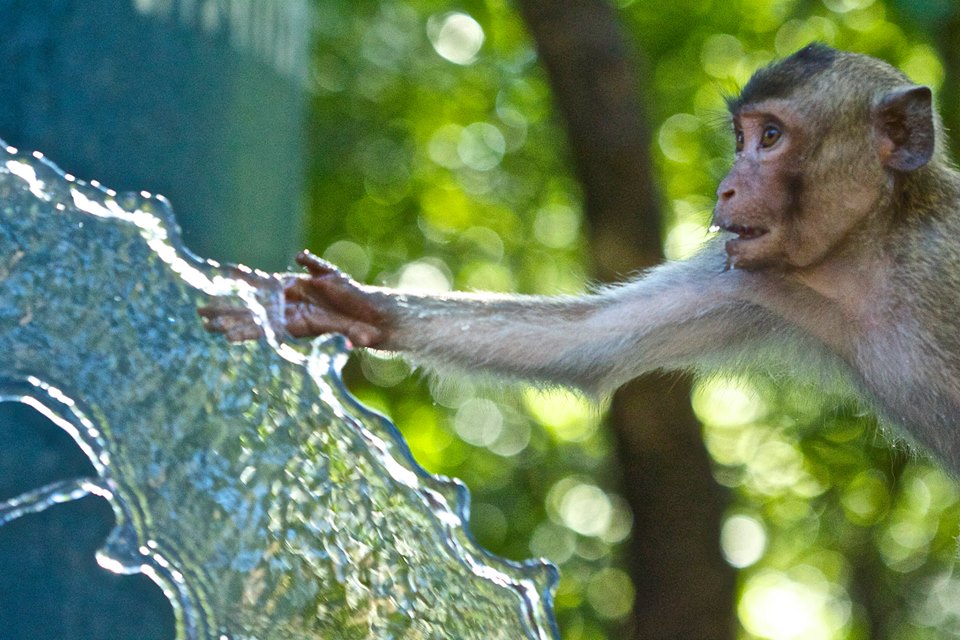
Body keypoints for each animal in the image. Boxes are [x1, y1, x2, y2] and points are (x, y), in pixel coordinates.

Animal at [200, 44, 960, 472]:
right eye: (743, 137)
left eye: (771, 137)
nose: (726, 184)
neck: (871, 250)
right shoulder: (755, 281)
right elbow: (589, 345)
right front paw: (333, 307)